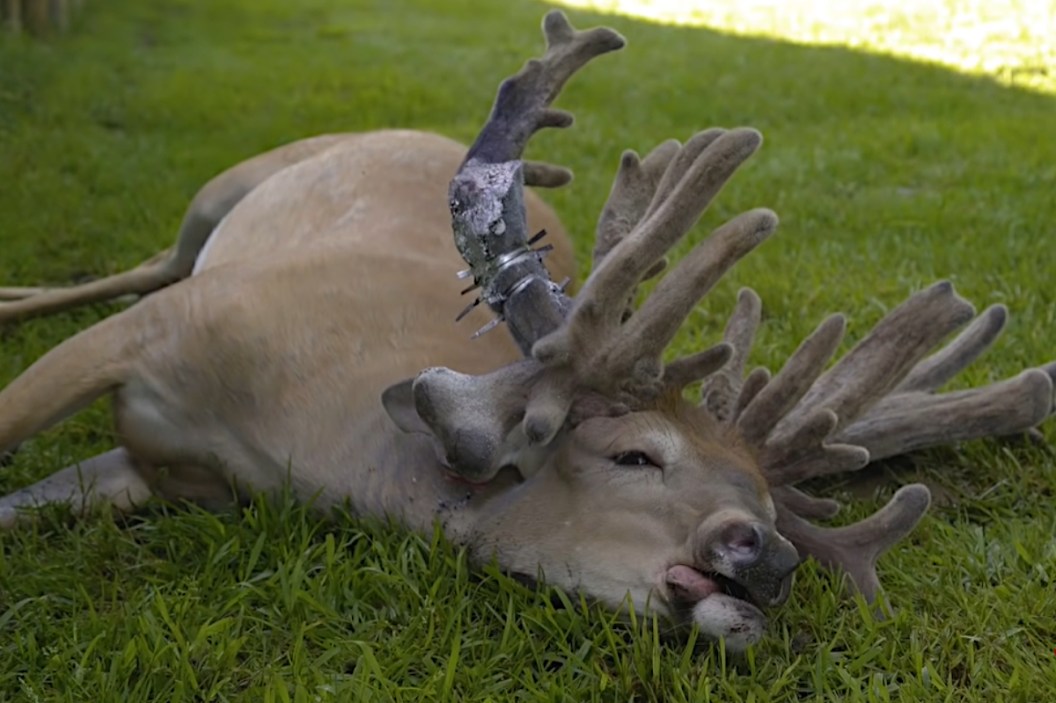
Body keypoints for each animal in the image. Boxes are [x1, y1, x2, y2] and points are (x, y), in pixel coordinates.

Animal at [1, 11, 1053, 652]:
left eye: (762, 492)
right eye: (634, 454)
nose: (770, 554)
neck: (304, 435)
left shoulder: (159, 472)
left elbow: (26, 498)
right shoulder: (172, 325)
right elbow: (21, 410)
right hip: (221, 199)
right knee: (147, 262)